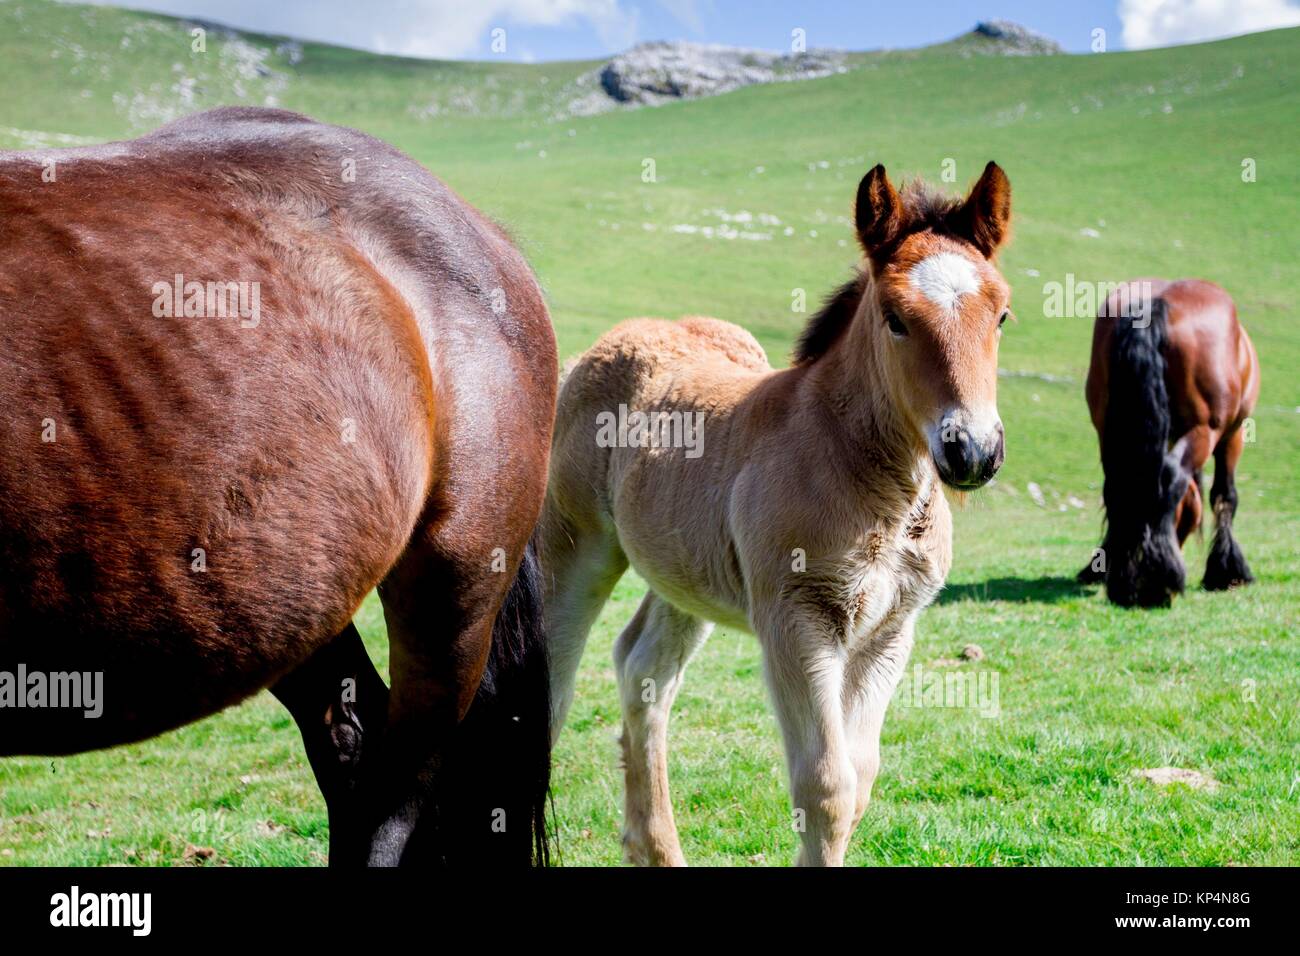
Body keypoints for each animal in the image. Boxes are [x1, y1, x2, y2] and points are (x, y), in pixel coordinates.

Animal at [541, 162, 1013, 866]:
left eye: (1002, 314)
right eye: (896, 319)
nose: (973, 450)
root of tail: (601, 348)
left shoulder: (890, 630)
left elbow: (860, 780)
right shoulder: (796, 619)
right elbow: (825, 787)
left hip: (685, 574)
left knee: (642, 669)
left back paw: (657, 849)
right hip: (578, 546)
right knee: (551, 689)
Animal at [1078, 279, 1259, 608]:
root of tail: (1155, 303)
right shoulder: (1233, 434)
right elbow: (1225, 495)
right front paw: (1226, 571)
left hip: (1109, 430)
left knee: (1116, 487)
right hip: (1207, 430)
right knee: (1172, 476)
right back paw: (1157, 581)